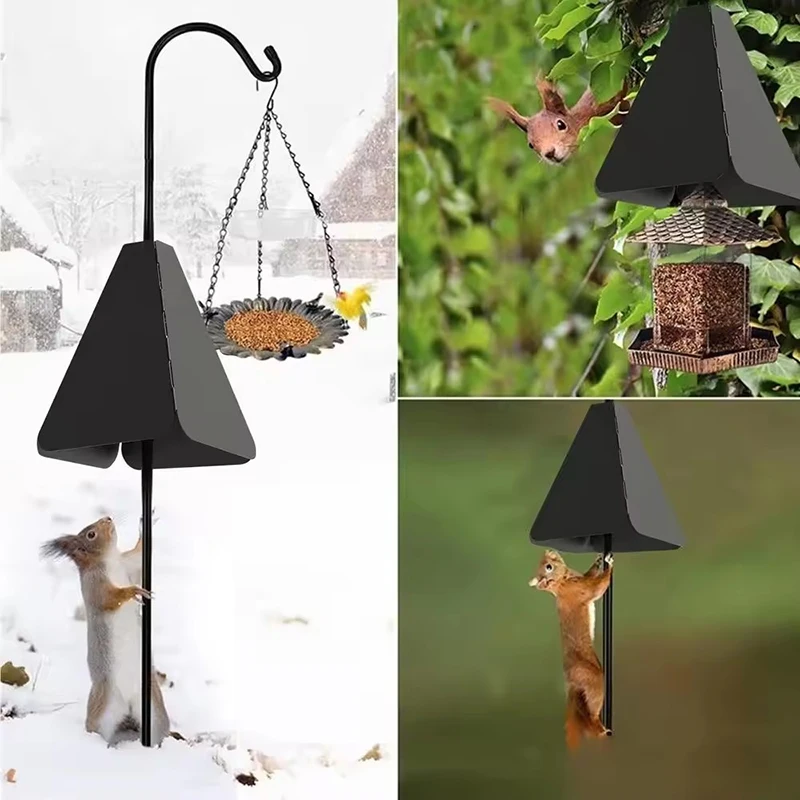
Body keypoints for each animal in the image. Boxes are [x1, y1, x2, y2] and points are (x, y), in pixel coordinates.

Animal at [41, 516, 170, 746]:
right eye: (91, 534)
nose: (108, 518)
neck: (111, 560)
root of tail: (128, 704)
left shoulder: (129, 565)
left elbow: (138, 556)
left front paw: (146, 525)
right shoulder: (95, 586)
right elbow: (110, 598)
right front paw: (132, 591)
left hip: (154, 711)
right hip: (102, 709)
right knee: (95, 727)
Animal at [529, 549, 613, 750]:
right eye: (548, 567)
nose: (549, 550)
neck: (562, 581)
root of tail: (570, 681)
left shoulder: (581, 578)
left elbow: (590, 574)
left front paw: (599, 559)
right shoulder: (579, 589)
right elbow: (597, 587)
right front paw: (610, 563)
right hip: (593, 677)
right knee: (592, 712)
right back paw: (600, 730)